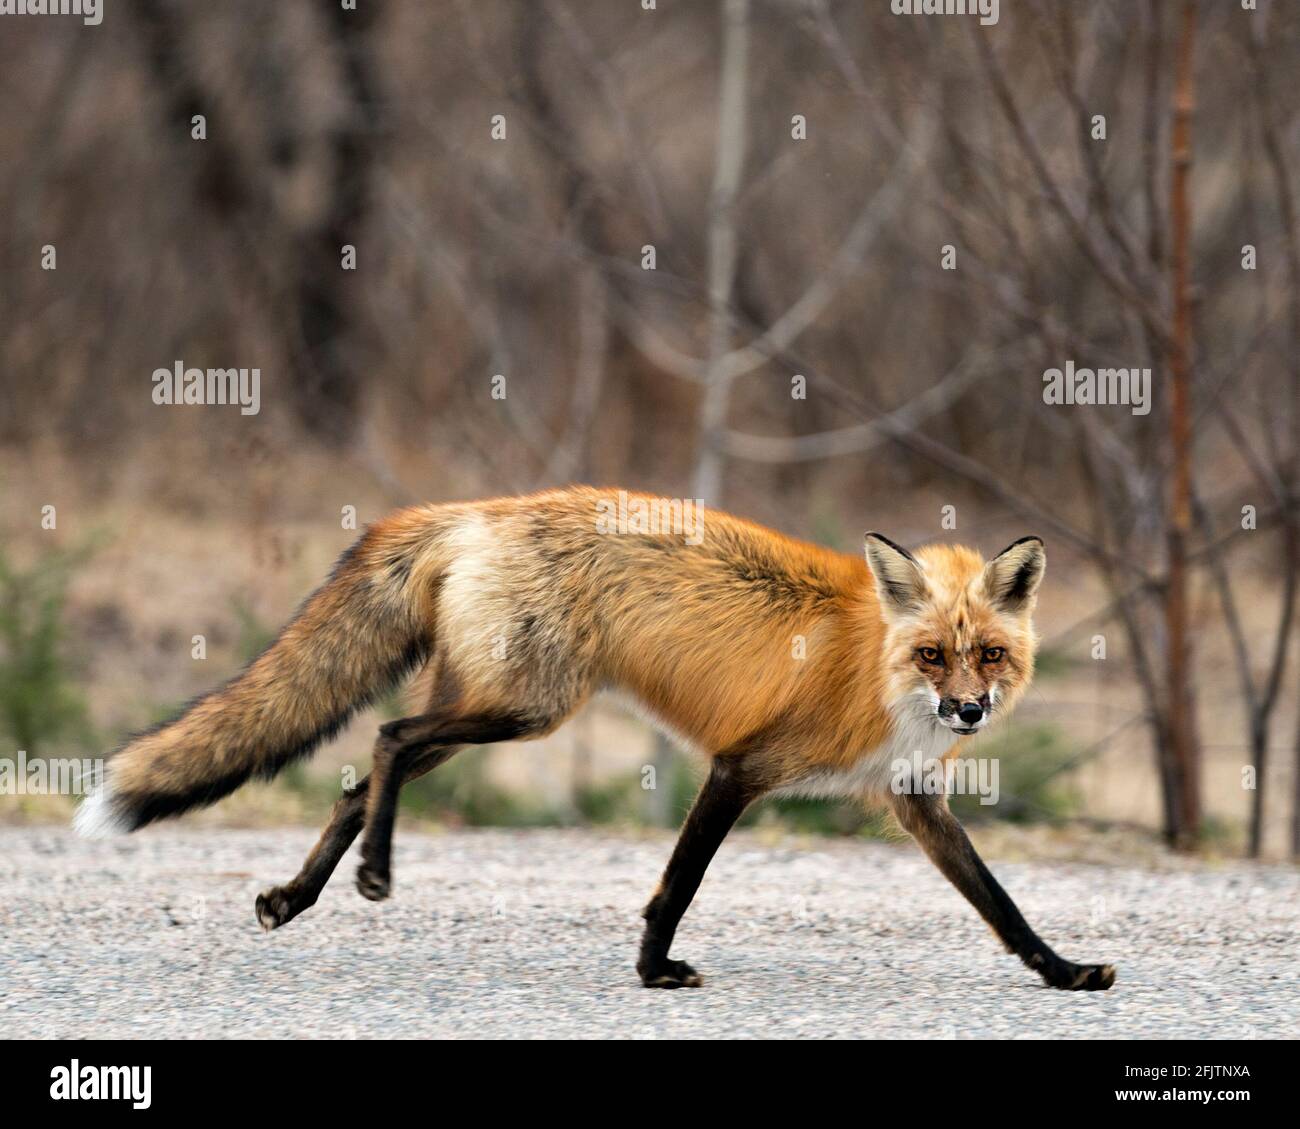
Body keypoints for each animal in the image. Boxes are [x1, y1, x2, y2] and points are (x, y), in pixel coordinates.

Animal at [76, 486, 1115, 991]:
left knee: (358, 779)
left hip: (492, 706)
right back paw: (373, 872)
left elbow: (1001, 905)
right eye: (932, 653)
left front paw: (1063, 972)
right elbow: (678, 884)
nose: (969, 712)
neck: (874, 669)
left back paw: (295, 897)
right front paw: (655, 970)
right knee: (388, 737)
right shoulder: (743, 764)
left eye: (989, 654)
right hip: (523, 709)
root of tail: (473, 509)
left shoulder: (912, 797)